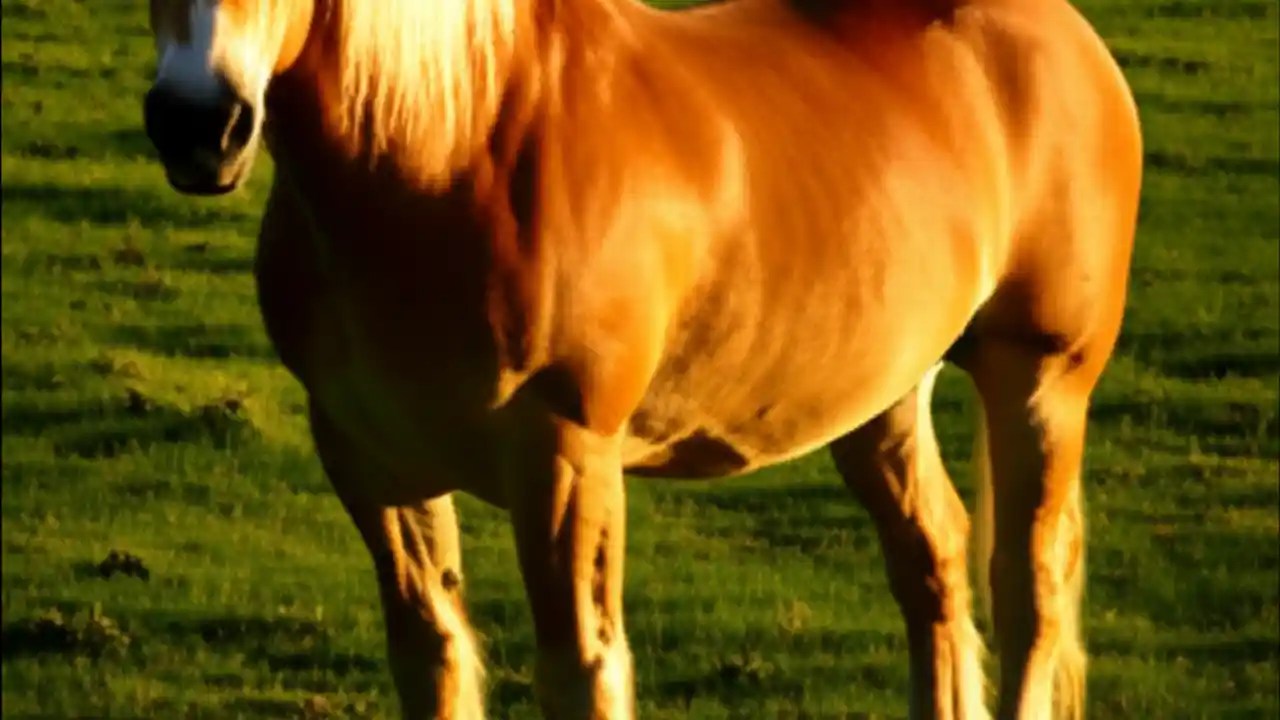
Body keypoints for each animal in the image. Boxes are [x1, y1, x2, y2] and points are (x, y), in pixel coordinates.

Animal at [141, 0, 1142, 717]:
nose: (200, 125)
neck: (454, 147)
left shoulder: (566, 459)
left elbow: (582, 669)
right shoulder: (372, 461)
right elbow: (432, 656)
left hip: (1040, 382)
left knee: (1028, 593)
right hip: (883, 395)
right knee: (933, 564)